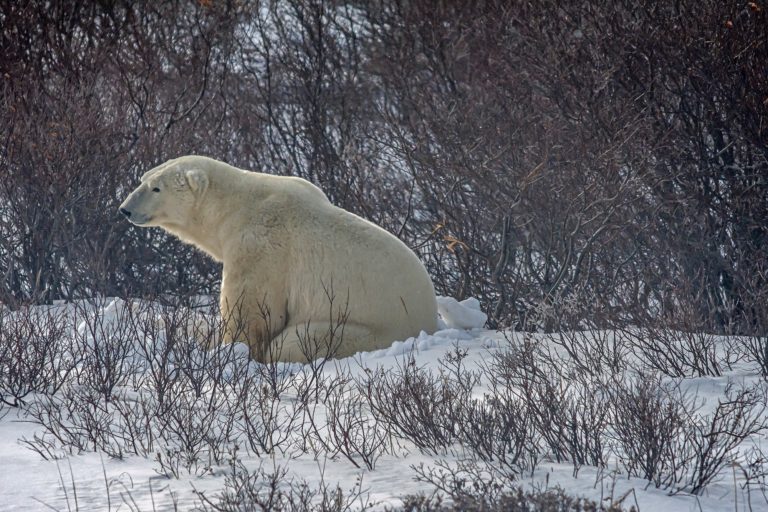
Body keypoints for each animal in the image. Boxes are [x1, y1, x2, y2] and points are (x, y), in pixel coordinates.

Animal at [119, 155, 438, 362]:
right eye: (143, 179)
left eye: (156, 187)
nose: (125, 209)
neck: (233, 207)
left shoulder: (260, 246)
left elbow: (250, 310)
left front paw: (230, 352)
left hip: (367, 330)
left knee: (296, 340)